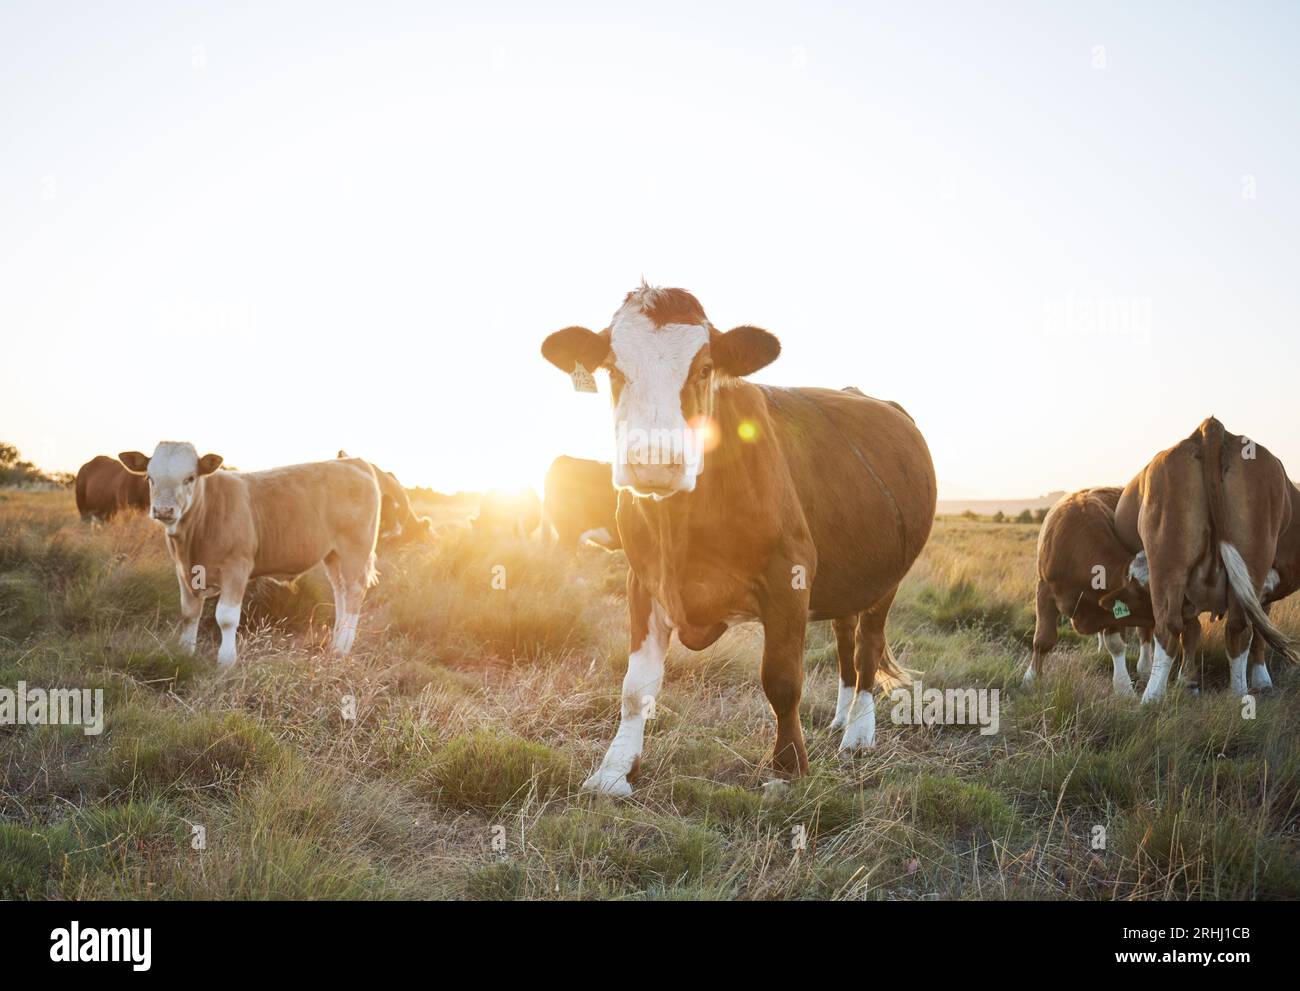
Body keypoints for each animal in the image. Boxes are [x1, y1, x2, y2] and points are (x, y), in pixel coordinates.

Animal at [118, 442, 380, 667]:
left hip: (354, 550)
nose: (163, 510)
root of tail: (352, 462)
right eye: (150, 477)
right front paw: (185, 653)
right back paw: (336, 642)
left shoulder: (236, 567)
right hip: (333, 554)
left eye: (190, 478)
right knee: (340, 592)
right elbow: (189, 614)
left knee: (354, 592)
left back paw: (342, 649)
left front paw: (226, 661)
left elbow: (226, 617)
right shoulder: (184, 571)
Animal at [540, 283, 936, 796]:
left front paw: (788, 770)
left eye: (705, 369)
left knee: (867, 646)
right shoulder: (643, 578)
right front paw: (614, 770)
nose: (654, 459)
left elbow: (782, 680)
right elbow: (635, 686)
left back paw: (858, 734)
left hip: (886, 578)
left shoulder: (789, 574)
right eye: (612, 368)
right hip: (848, 573)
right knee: (845, 639)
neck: (681, 523)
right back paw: (840, 718)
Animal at [1023, 486, 1155, 695]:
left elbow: (1116, 644)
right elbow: (1042, 640)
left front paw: (1123, 688)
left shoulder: (1111, 605)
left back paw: (1145, 668)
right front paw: (1030, 680)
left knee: (1145, 635)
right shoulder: (1044, 590)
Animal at [1103, 418, 1298, 702]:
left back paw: (1150, 699)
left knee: (1169, 627)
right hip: (1250, 563)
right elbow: (1197, 632)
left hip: (1169, 565)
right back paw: (1237, 695)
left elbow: (1190, 631)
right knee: (1238, 629)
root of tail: (1212, 427)